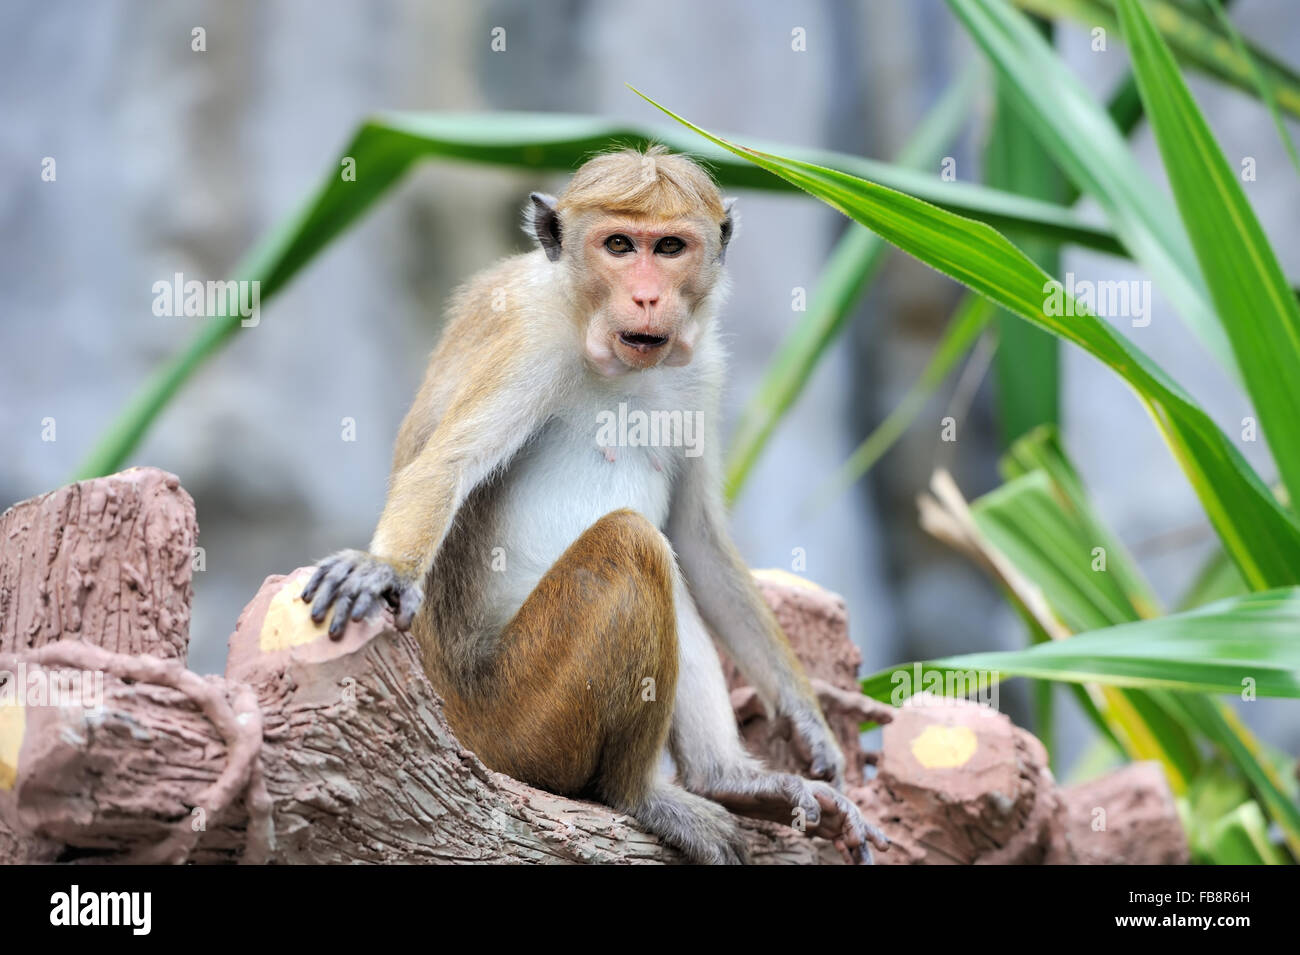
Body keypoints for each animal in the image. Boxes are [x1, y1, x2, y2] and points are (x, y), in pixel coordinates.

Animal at [302, 145, 888, 864]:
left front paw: (810, 725)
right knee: (633, 546)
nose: (647, 294)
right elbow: (447, 465)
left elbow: (697, 537)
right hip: (519, 720)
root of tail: (458, 720)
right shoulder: (529, 342)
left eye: (669, 247)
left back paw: (728, 779)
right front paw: (381, 568)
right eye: (618, 245)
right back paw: (639, 793)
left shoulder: (702, 367)